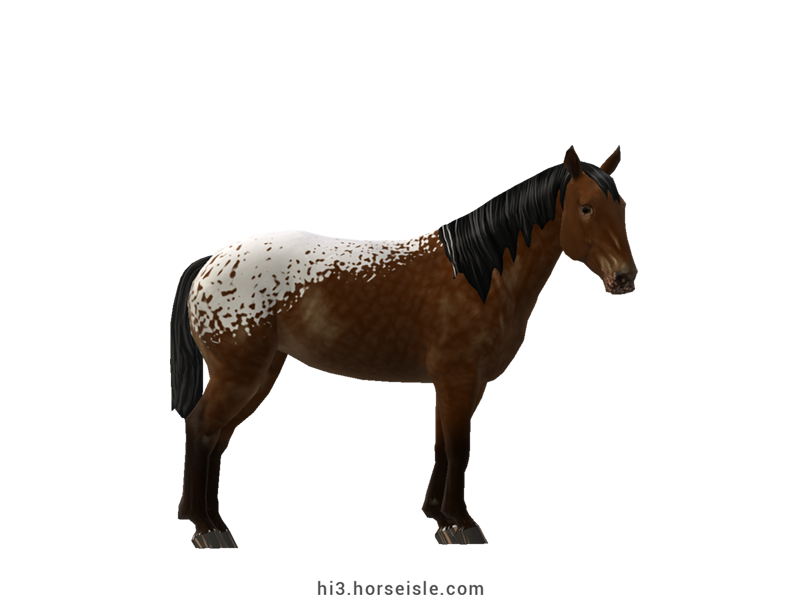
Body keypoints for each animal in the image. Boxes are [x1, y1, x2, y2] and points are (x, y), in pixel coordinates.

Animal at [170, 147, 637, 536]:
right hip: (237, 375)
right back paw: (205, 525)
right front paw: (461, 519)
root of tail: (210, 262)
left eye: (618, 204)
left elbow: (444, 445)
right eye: (586, 207)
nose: (624, 276)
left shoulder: (460, 382)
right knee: (201, 431)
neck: (480, 276)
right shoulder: (457, 376)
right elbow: (459, 446)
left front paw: (439, 513)